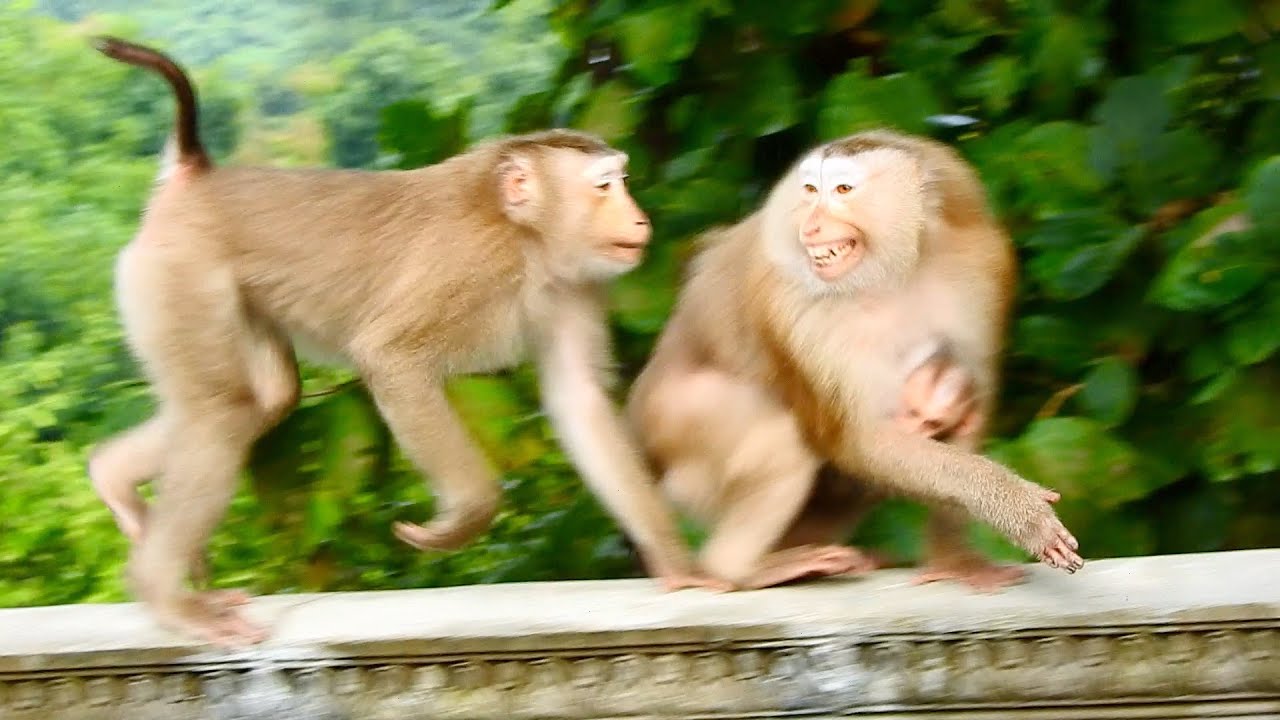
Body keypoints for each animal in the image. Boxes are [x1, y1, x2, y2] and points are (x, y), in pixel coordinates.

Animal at [85, 36, 726, 647]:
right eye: (605, 186)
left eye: (623, 182)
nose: (639, 219)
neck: (524, 237)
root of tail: (196, 178)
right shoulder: (470, 262)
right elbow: (391, 357)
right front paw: (467, 515)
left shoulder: (576, 287)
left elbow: (579, 402)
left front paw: (676, 563)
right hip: (179, 274)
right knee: (223, 409)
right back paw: (166, 596)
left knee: (263, 398)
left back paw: (112, 477)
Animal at [625, 129, 1085, 592]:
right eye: (811, 191)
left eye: (843, 190)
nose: (810, 226)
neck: (897, 270)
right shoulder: (790, 303)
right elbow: (858, 440)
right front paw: (1018, 510)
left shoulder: (982, 264)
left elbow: (971, 405)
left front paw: (957, 560)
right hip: (676, 429)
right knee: (781, 438)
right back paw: (740, 569)